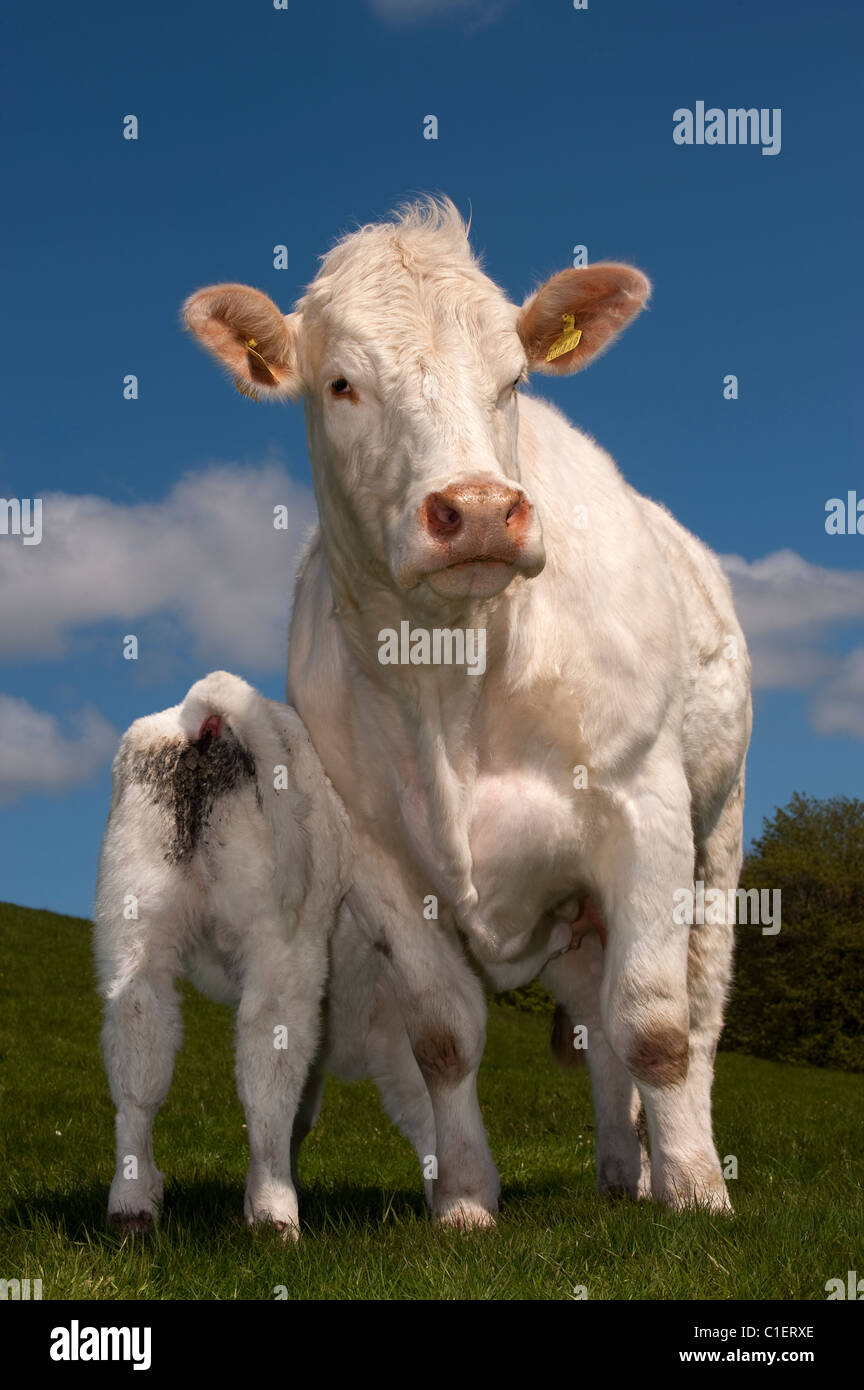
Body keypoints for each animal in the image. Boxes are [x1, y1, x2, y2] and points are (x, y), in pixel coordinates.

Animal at [184, 197, 752, 1228]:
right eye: (341, 384)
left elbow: (655, 1025)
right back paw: (620, 1175)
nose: (482, 510)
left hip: (716, 833)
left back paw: (668, 1171)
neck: (452, 678)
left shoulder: (643, 813)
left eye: (514, 377)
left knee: (693, 1008)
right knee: (596, 1027)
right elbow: (445, 1037)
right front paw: (464, 1201)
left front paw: (695, 1198)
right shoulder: (380, 859)